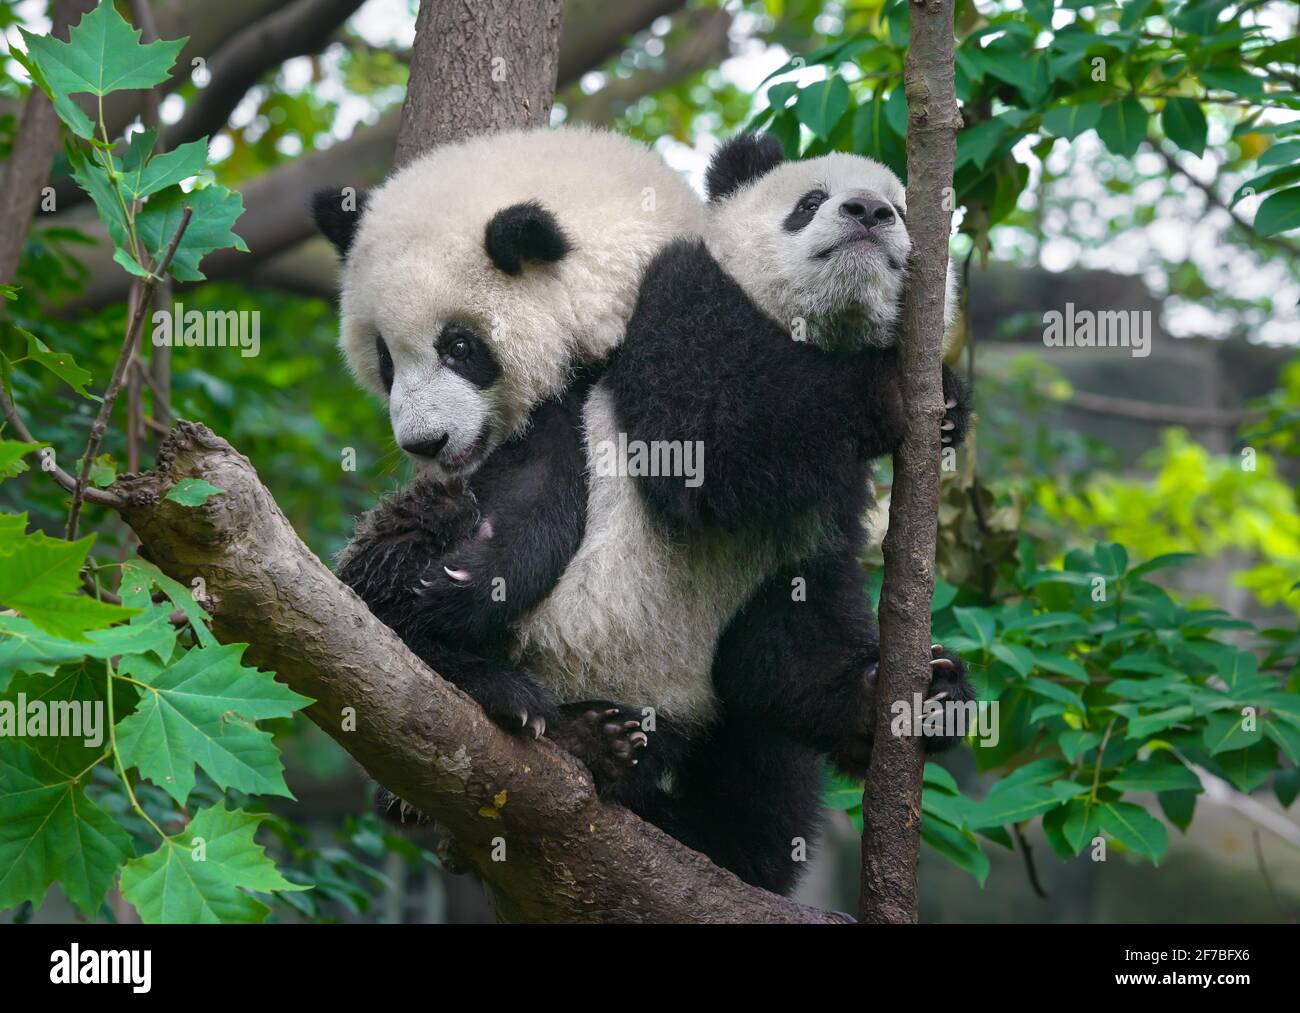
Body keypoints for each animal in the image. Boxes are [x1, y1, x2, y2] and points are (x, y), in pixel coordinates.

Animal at [315, 128, 975, 896]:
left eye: (902, 207)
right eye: (810, 203)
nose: (869, 211)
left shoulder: (805, 526)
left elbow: (787, 640)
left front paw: (917, 694)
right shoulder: (671, 322)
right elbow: (710, 437)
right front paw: (891, 391)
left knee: (761, 776)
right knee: (410, 559)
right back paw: (525, 705)